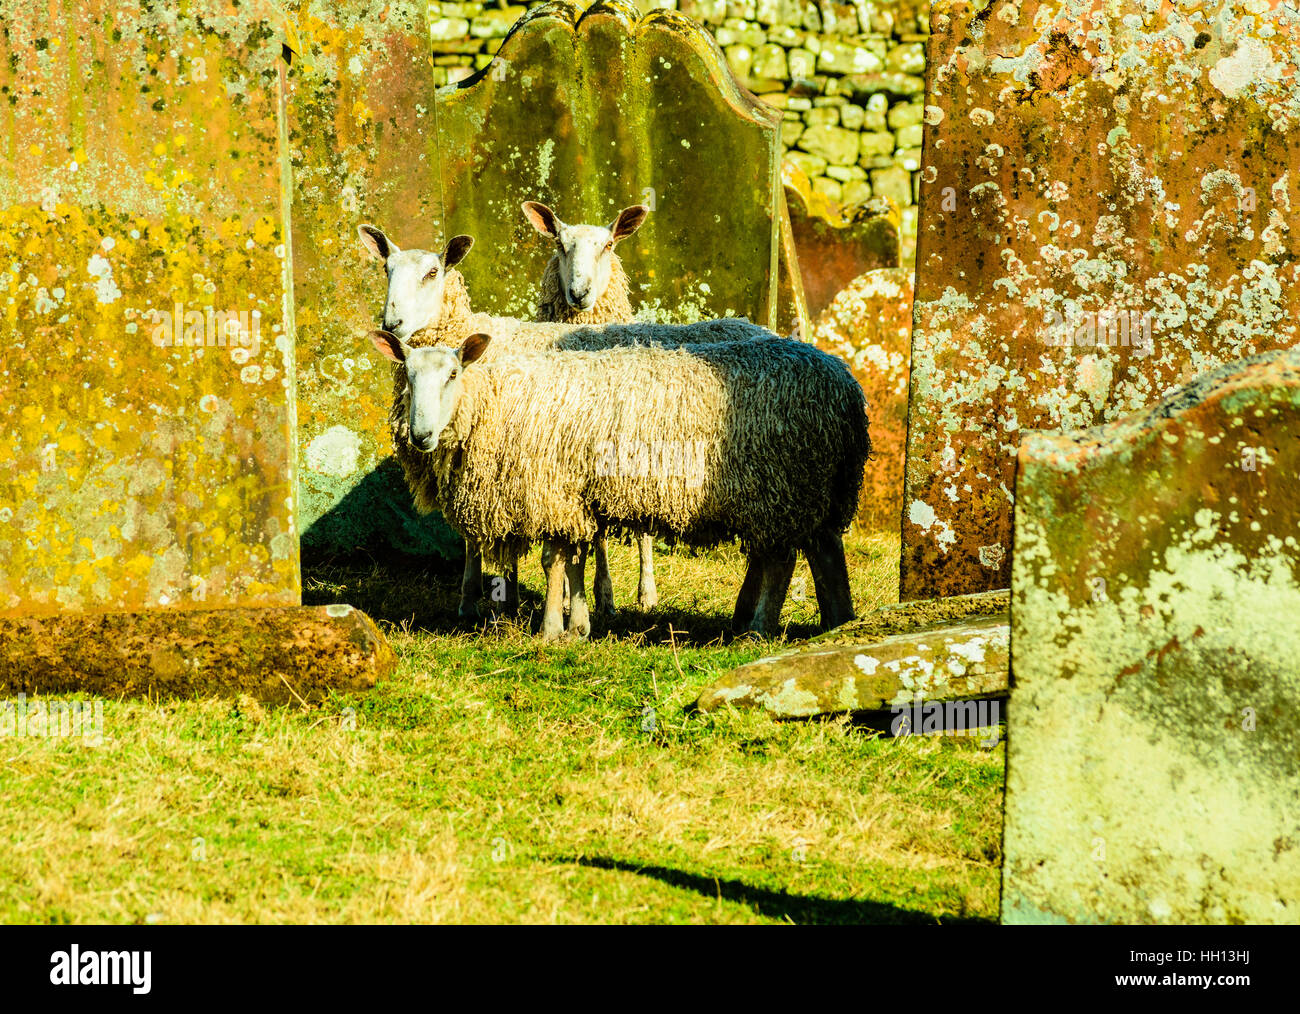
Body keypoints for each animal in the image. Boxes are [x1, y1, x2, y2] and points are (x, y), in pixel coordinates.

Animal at [367, 328, 870, 641]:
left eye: (452, 374)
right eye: (407, 377)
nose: (420, 435)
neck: (496, 402)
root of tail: (847, 388)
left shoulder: (555, 491)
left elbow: (553, 561)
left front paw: (551, 629)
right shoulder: (575, 496)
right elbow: (574, 559)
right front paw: (579, 625)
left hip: (783, 486)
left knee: (783, 560)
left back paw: (760, 628)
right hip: (807, 489)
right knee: (822, 552)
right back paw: (835, 622)